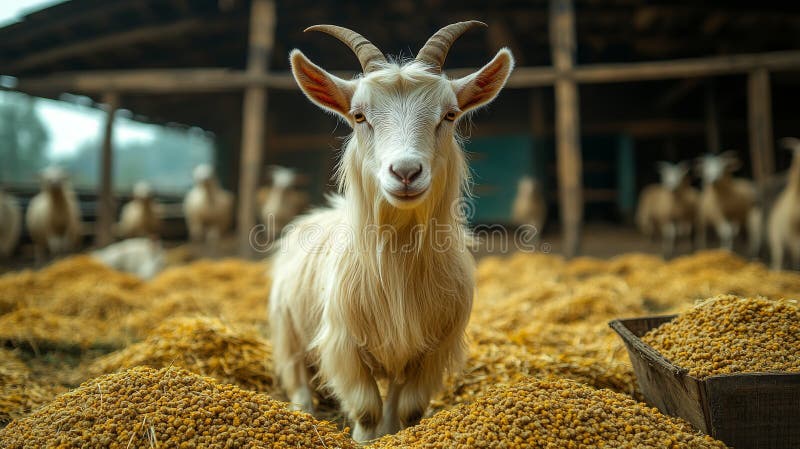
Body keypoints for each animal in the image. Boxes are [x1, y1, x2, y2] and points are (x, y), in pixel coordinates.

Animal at [269, 22, 513, 441]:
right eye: (358, 115)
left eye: (450, 114)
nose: (405, 172)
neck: (398, 260)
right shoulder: (343, 343)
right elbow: (366, 409)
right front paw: (365, 439)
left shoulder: (430, 348)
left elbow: (407, 408)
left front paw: (394, 433)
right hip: (288, 328)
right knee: (298, 377)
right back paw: (303, 413)